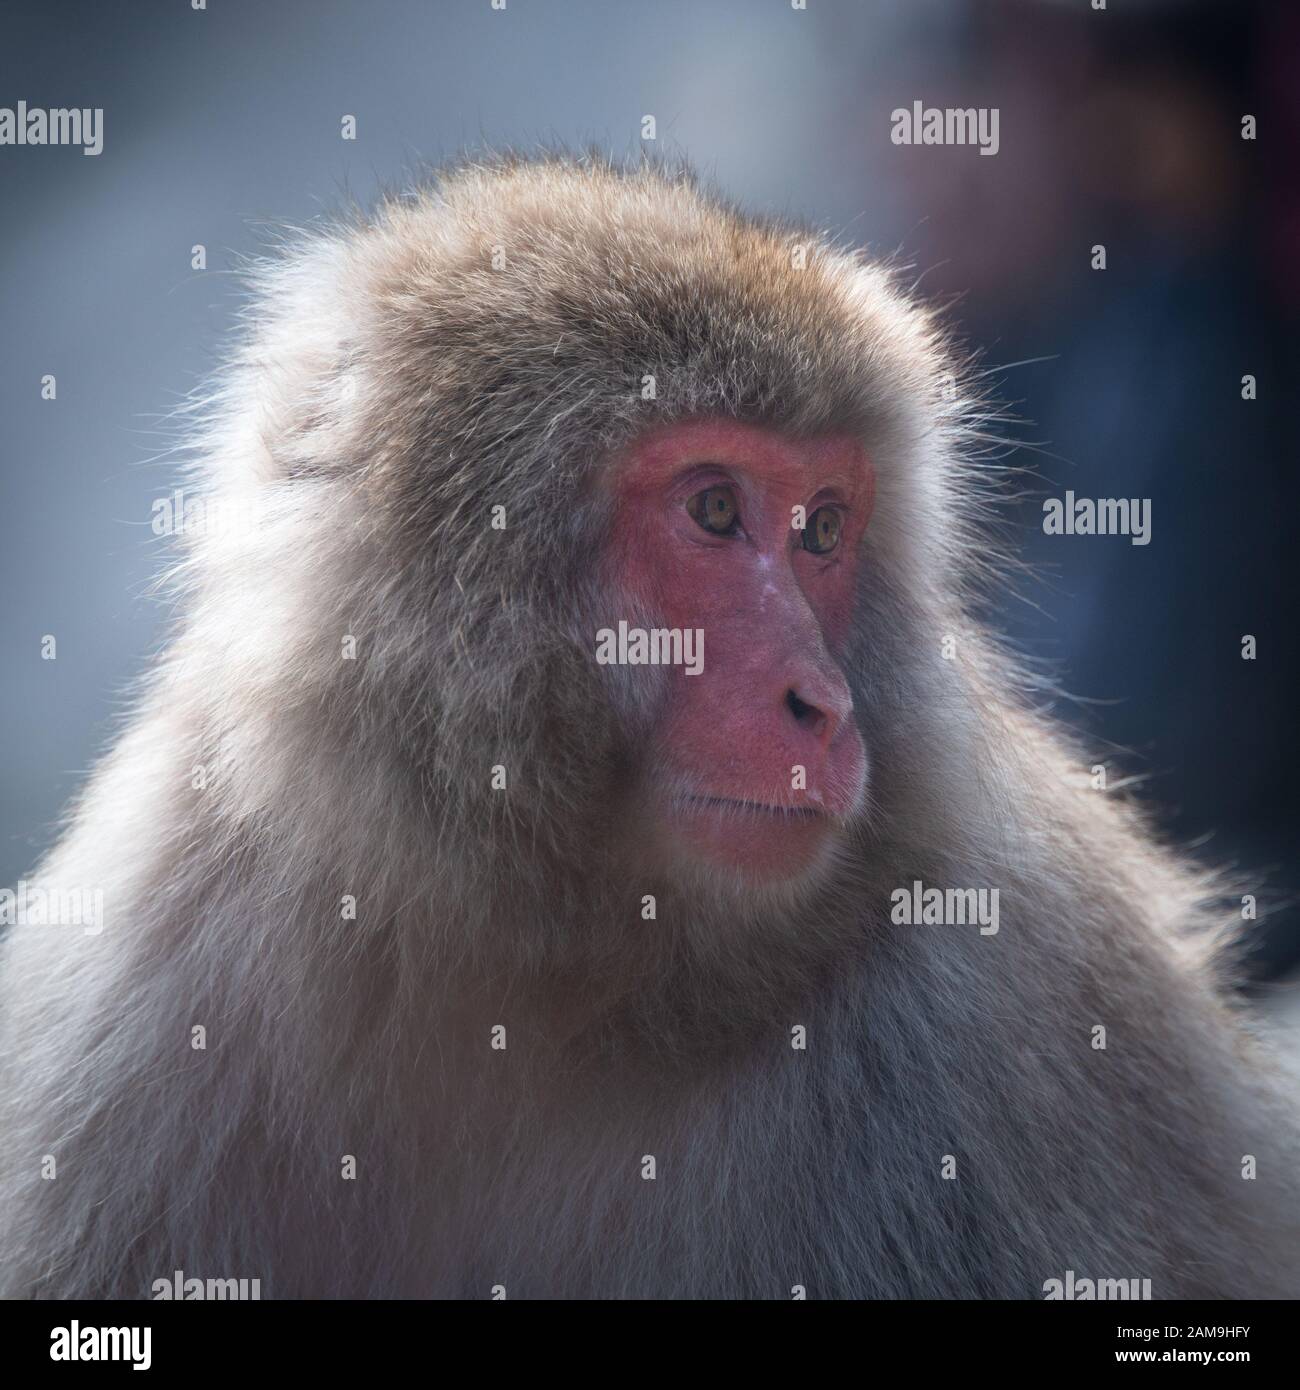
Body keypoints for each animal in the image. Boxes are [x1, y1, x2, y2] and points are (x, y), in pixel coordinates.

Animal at [0, 154, 1296, 1300]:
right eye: (714, 510)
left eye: (824, 528)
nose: (822, 703)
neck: (549, 965)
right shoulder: (154, 942)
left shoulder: (991, 998)